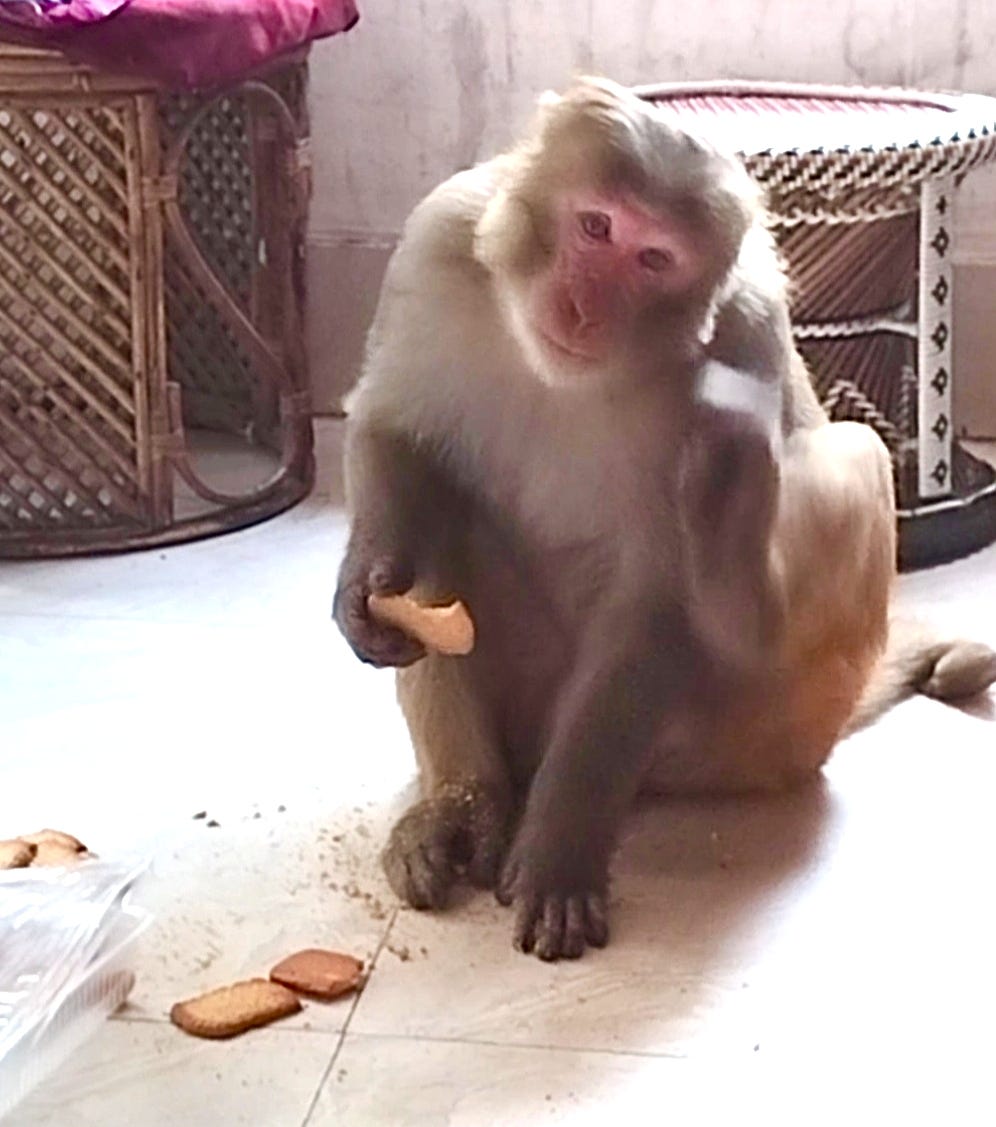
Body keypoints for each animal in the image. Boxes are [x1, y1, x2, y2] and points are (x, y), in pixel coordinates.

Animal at [333, 77, 996, 962]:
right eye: (596, 226)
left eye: (652, 260)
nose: (583, 306)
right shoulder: (435, 238)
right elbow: (395, 428)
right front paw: (366, 583)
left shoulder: (742, 334)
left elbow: (654, 606)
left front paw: (560, 844)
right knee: (448, 513)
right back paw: (465, 802)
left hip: (757, 731)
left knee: (851, 456)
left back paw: (731, 547)